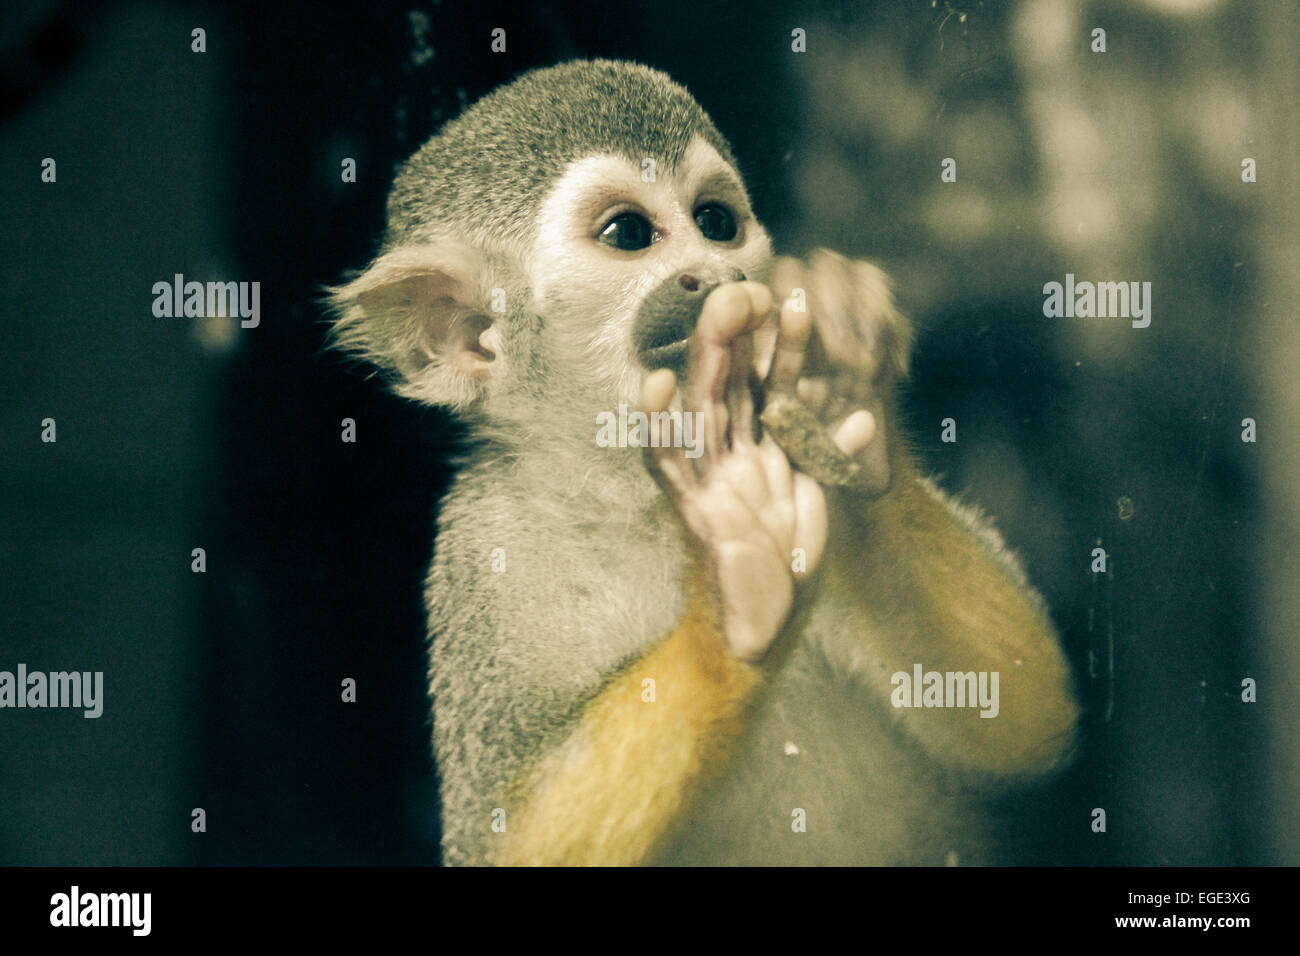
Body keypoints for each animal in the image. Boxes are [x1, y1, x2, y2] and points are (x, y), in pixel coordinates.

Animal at [328, 59, 1077, 866]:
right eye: (629, 233)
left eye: (717, 222)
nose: (712, 273)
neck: (633, 486)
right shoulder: (483, 551)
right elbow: (506, 840)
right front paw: (741, 595)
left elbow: (1019, 712)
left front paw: (838, 389)